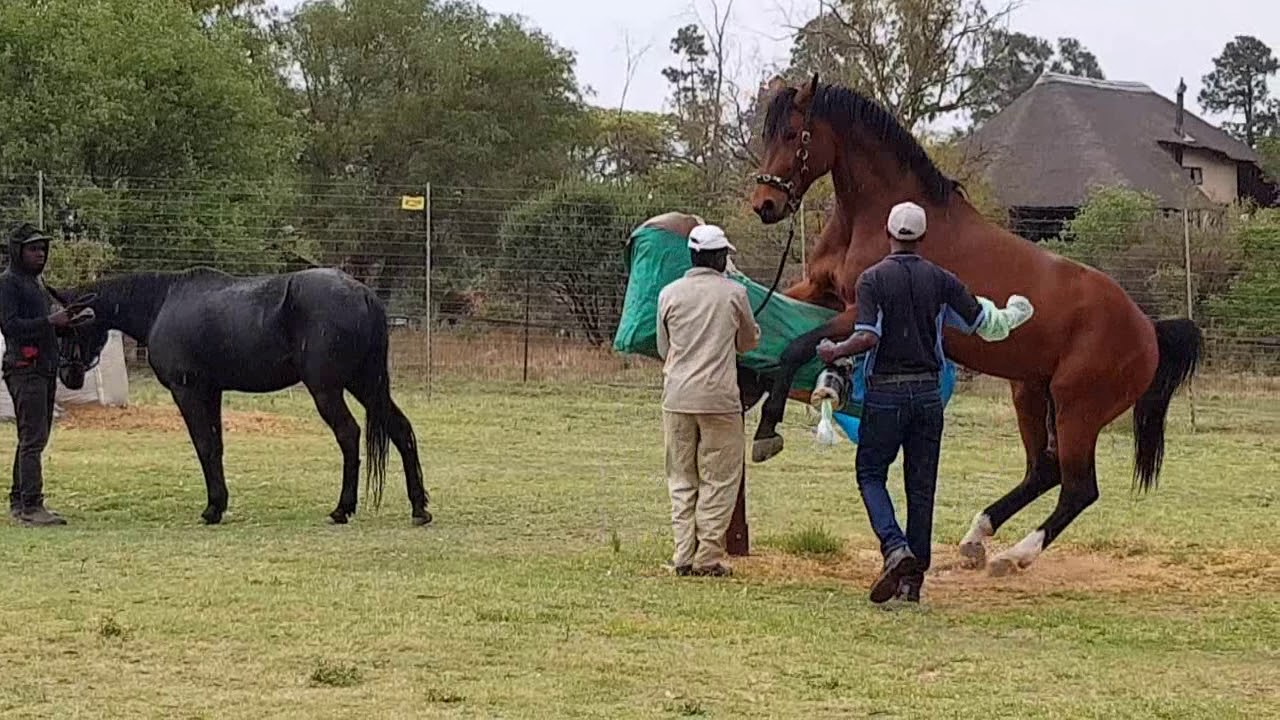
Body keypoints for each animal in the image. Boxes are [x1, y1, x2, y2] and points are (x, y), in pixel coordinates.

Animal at [55, 267, 432, 527]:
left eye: (70, 328)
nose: (68, 376)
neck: (161, 303)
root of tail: (363, 294)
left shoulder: (187, 391)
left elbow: (204, 446)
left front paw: (211, 509)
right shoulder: (211, 392)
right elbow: (216, 446)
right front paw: (219, 504)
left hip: (328, 389)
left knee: (349, 434)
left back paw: (342, 508)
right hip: (367, 385)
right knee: (401, 431)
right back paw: (419, 508)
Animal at [745, 74, 1202, 576]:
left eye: (793, 135)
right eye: (766, 134)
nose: (765, 204)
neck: (886, 217)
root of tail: (1147, 330)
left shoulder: (856, 311)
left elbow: (797, 346)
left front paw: (767, 431)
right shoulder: (819, 290)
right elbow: (767, 317)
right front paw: (750, 383)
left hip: (1076, 409)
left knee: (1078, 488)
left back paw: (1014, 555)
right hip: (1030, 392)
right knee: (1043, 471)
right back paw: (976, 537)